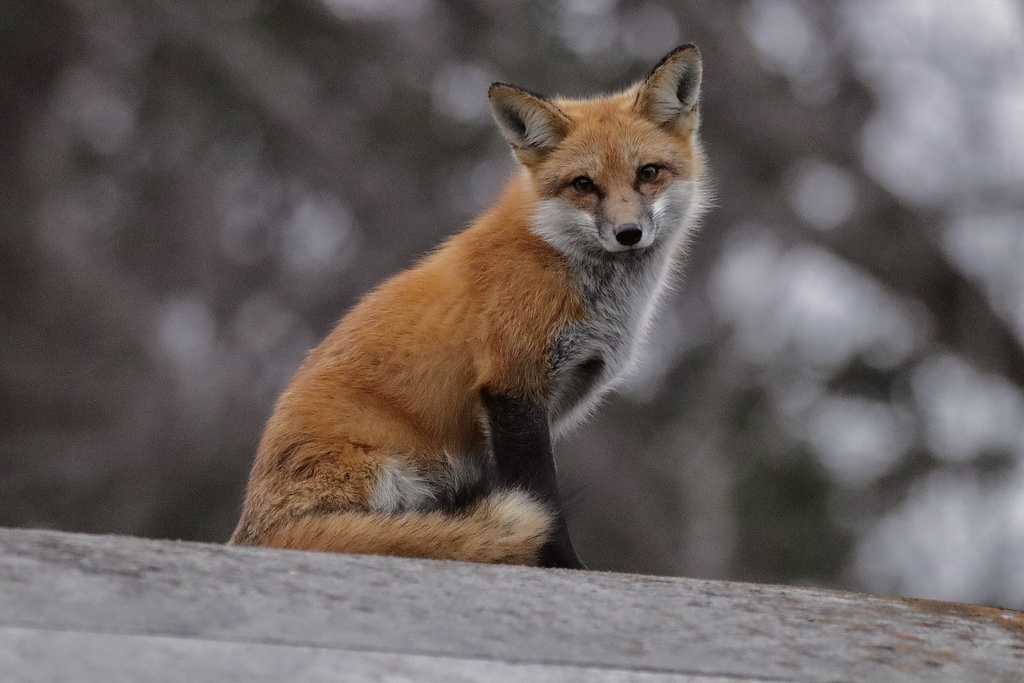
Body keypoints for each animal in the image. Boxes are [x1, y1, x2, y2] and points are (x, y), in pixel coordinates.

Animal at [229, 45, 710, 569]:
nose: (628, 233)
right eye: (584, 184)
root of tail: (251, 530)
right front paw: (563, 564)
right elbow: (541, 498)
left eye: (648, 173)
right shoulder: (512, 384)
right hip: (391, 471)